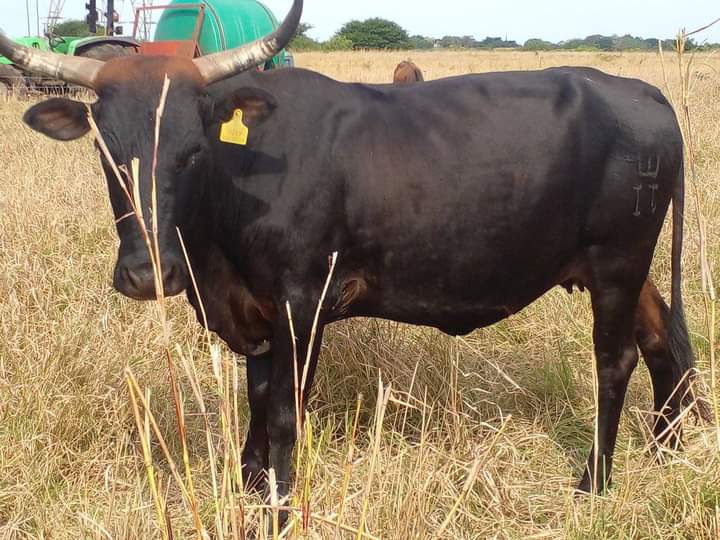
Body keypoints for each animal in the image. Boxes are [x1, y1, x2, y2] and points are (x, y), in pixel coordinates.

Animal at [0, 0, 703, 512]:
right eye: (104, 146)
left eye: (193, 149)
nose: (149, 274)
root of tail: (638, 91)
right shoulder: (255, 314)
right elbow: (258, 405)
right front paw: (253, 489)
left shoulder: (302, 303)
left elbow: (285, 413)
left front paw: (281, 508)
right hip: (625, 272)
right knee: (664, 344)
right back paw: (665, 453)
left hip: (617, 263)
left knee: (616, 362)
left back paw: (595, 481)